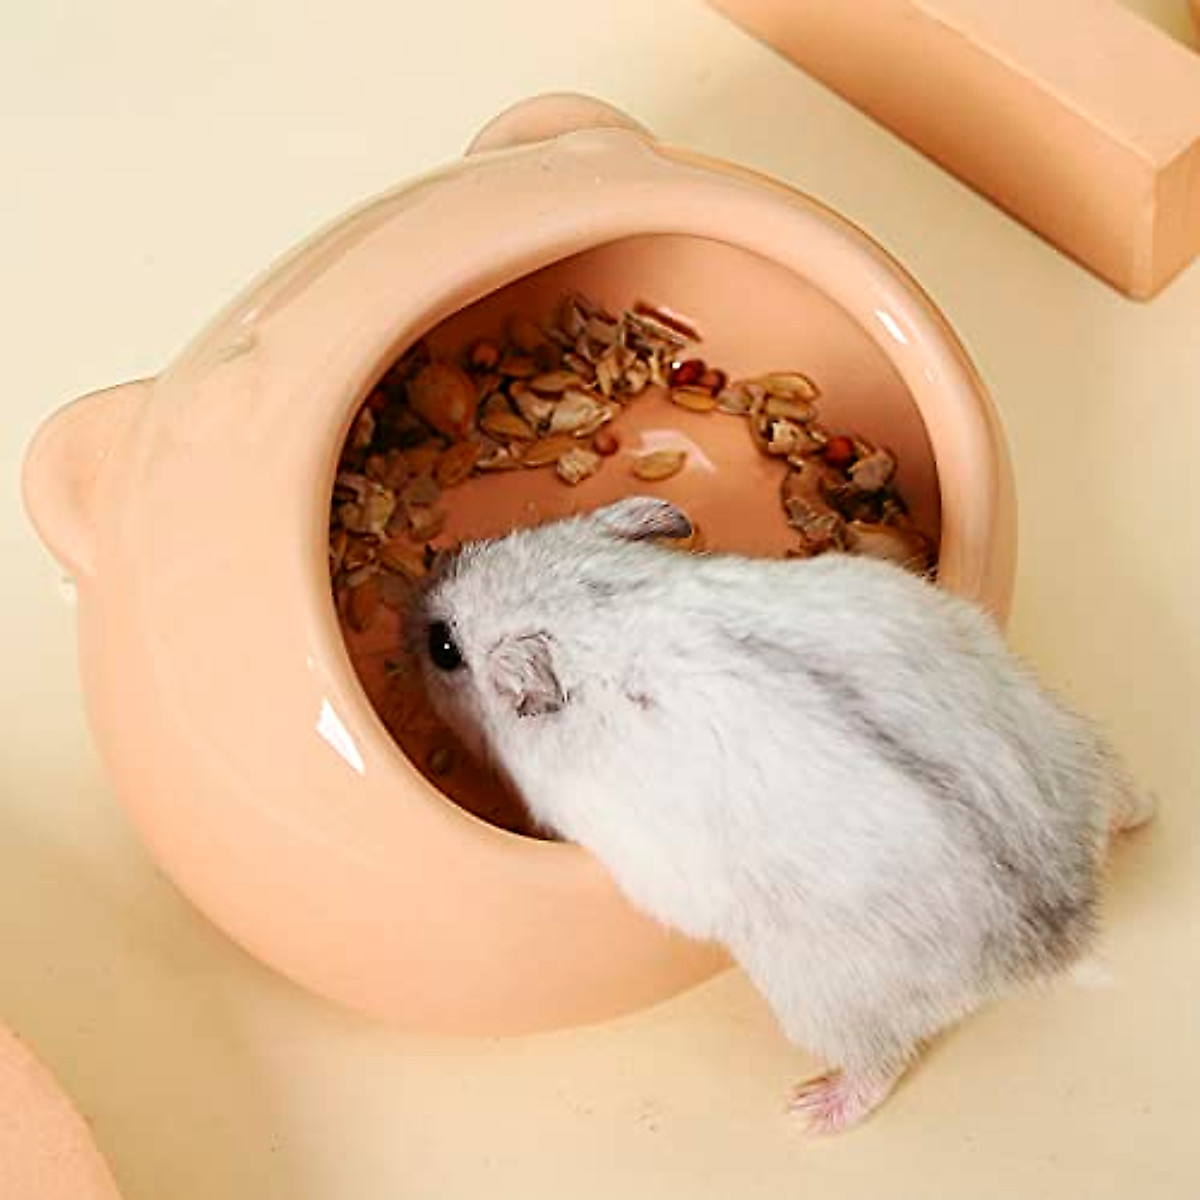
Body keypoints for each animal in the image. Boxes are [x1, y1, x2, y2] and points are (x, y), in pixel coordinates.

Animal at [411, 496, 1153, 1133]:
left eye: (444, 647)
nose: (415, 590)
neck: (597, 613)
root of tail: (1063, 935)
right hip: (1064, 736)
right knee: (1125, 793)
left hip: (822, 999)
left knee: (880, 1064)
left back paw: (811, 1111)